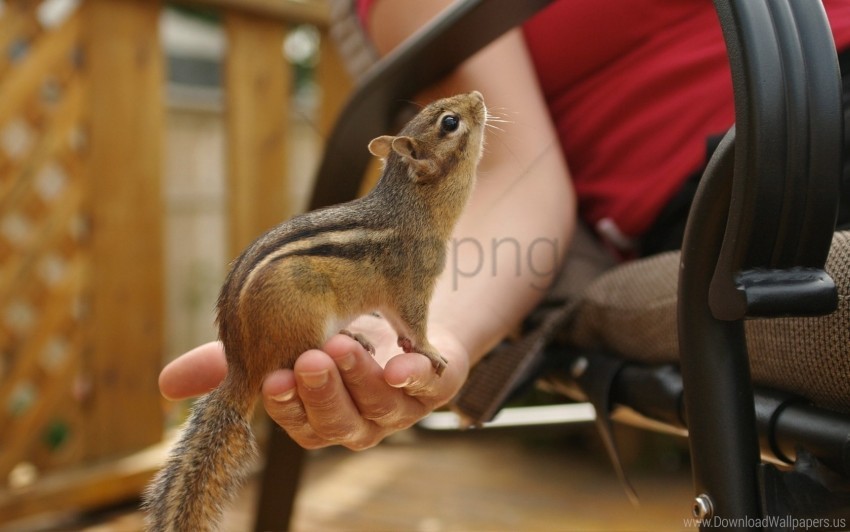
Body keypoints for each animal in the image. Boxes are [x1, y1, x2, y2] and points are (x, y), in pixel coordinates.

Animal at [142, 91, 487, 531]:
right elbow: (413, 320)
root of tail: (242, 364)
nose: (477, 96)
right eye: (449, 122)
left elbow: (399, 323)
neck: (412, 205)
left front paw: (411, 346)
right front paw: (428, 351)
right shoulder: (412, 285)